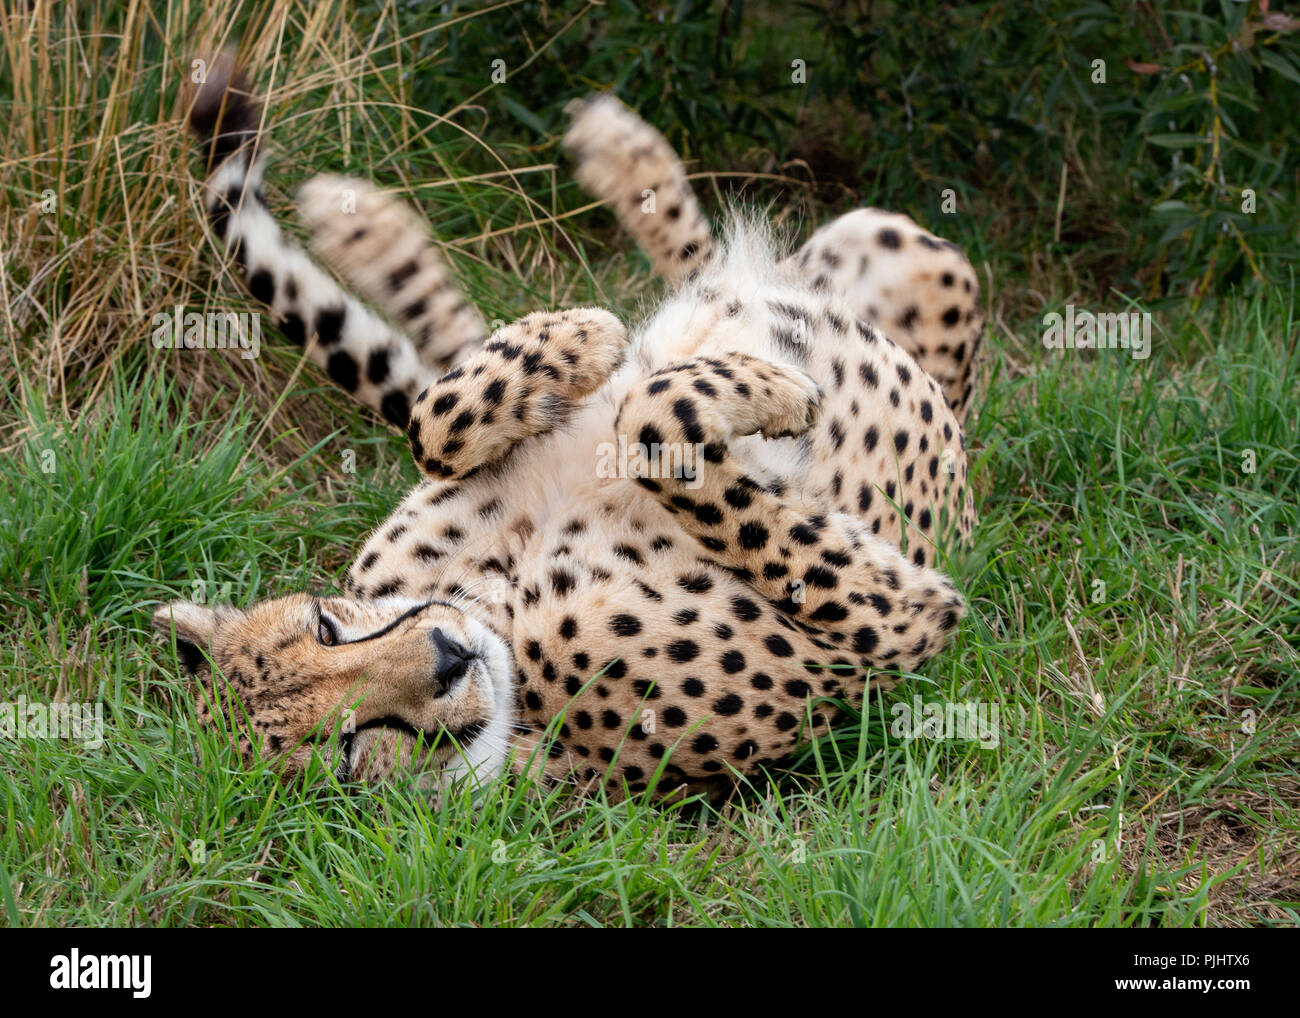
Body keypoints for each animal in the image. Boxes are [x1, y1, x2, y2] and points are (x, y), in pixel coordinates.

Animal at [154, 56, 983, 801]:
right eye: (347, 747)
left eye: (326, 627)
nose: (447, 656)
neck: (499, 611)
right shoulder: (902, 622)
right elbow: (655, 424)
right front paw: (773, 394)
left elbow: (437, 416)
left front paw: (579, 338)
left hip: (895, 248)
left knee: (713, 275)